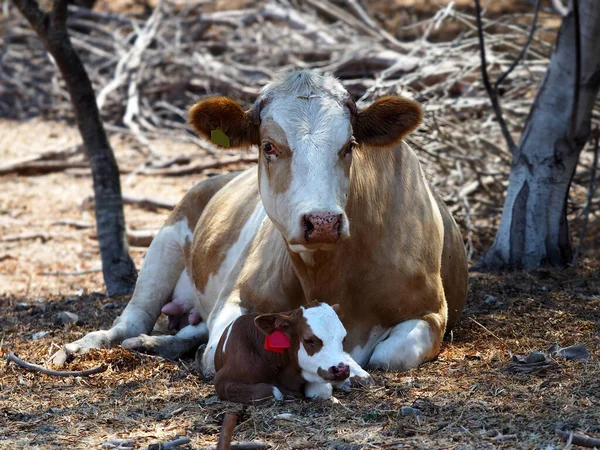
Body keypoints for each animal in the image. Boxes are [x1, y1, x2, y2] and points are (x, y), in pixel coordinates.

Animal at [51, 70, 468, 384]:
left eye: (349, 145)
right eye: (269, 146)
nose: (323, 222)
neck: (330, 276)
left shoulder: (433, 312)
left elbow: (388, 355)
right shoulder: (237, 296)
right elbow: (222, 348)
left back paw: (153, 344)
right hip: (165, 241)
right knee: (131, 319)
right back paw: (80, 348)